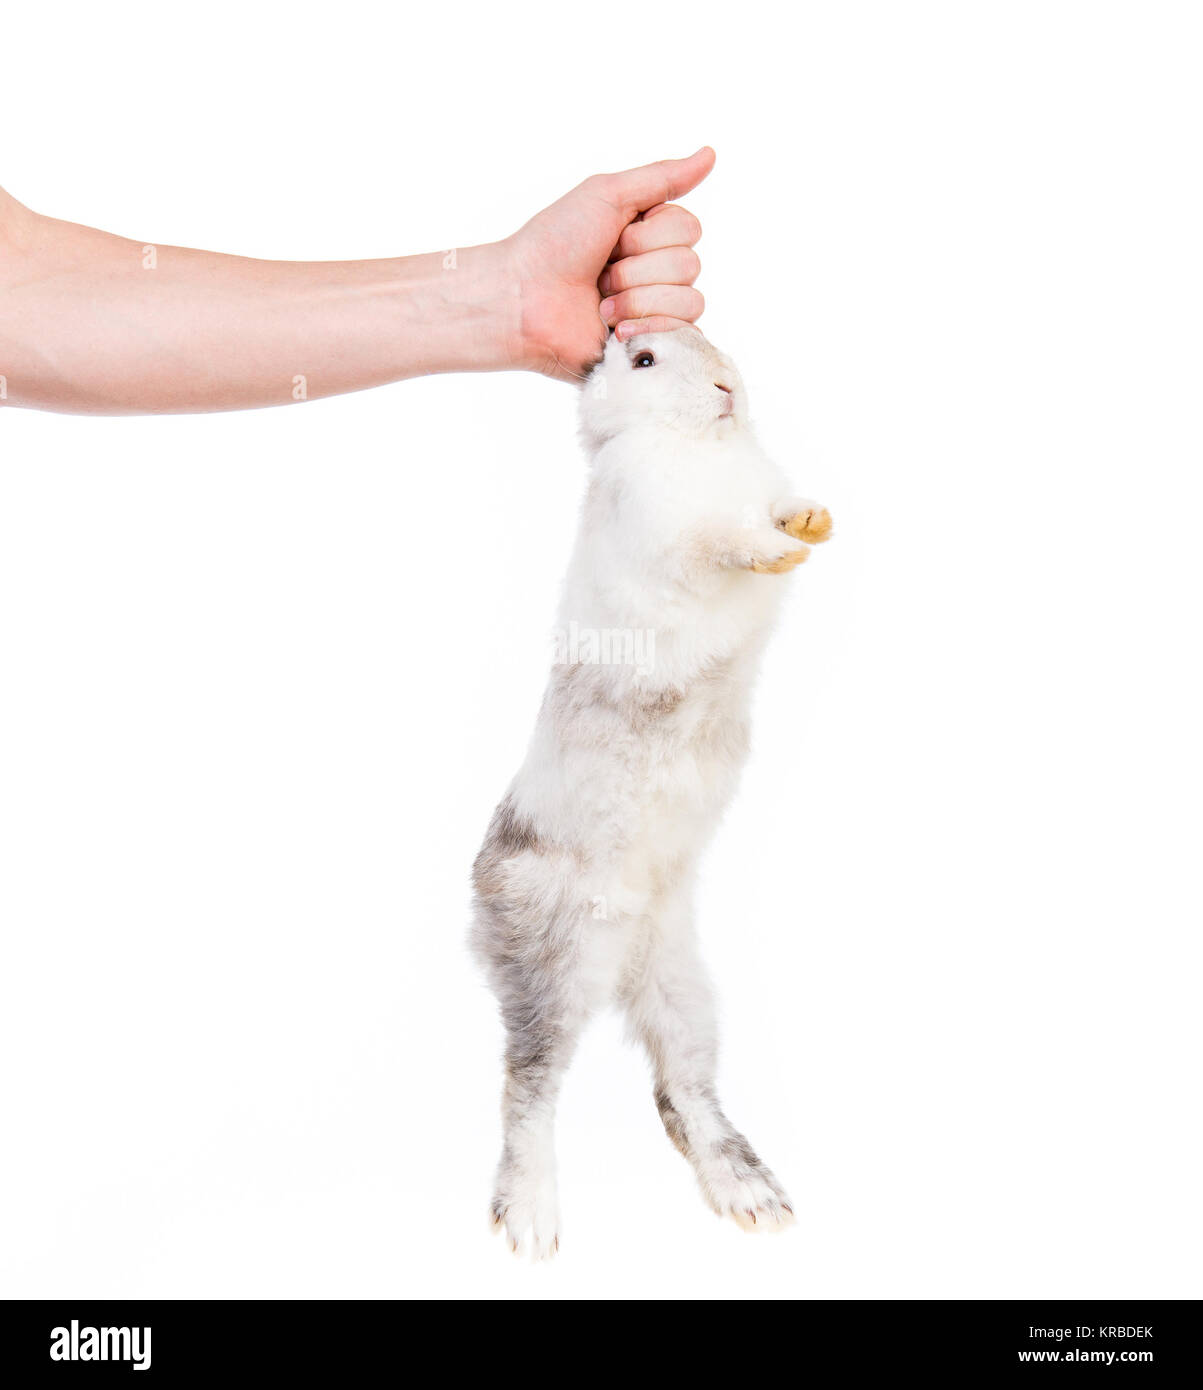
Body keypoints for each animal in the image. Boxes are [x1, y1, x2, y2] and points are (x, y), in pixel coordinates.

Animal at [471, 325, 832, 1258]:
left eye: (709, 340)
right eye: (640, 360)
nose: (726, 386)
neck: (697, 443)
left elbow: (776, 510)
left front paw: (810, 522)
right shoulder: (677, 529)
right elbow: (725, 541)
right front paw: (778, 547)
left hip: (685, 990)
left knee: (682, 1093)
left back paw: (754, 1202)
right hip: (559, 961)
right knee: (528, 1083)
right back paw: (530, 1224)